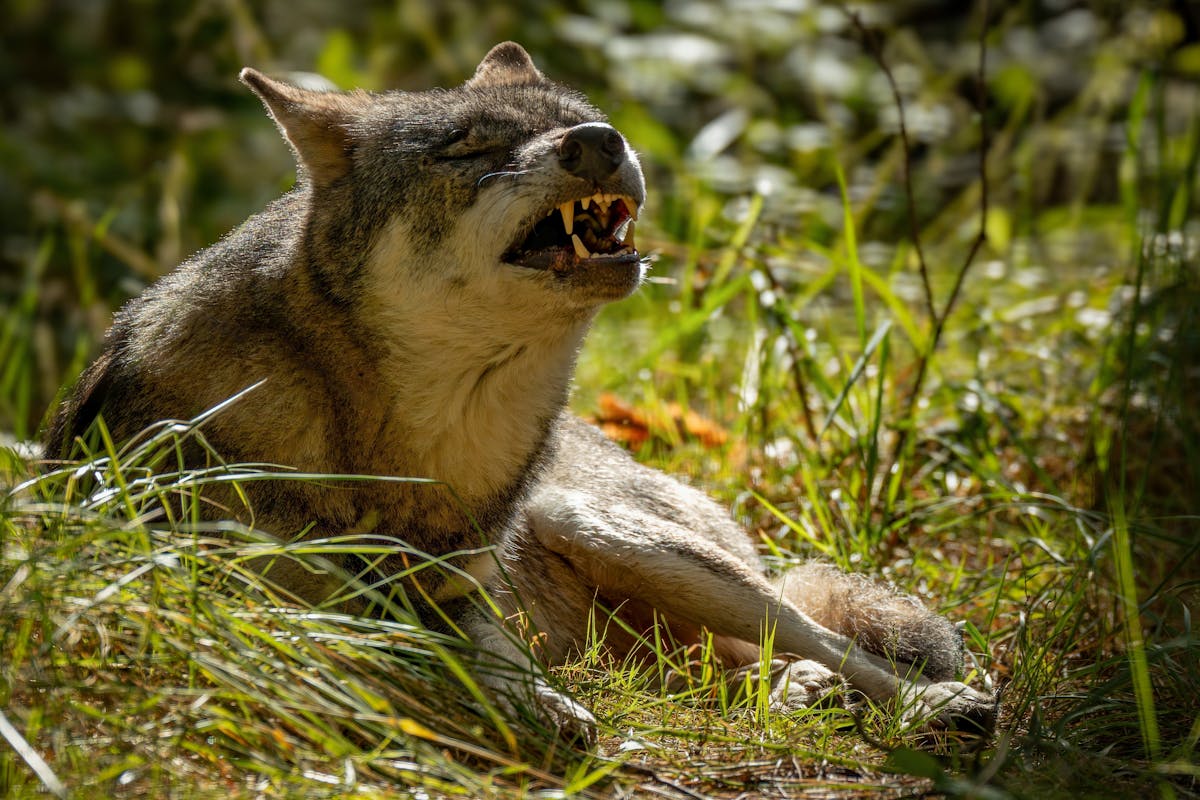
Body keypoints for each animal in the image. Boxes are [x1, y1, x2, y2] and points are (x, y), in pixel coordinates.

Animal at [45, 42, 995, 742]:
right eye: (468, 149)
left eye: (573, 122)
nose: (601, 142)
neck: (410, 447)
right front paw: (532, 703)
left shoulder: (462, 587)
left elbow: (486, 649)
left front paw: (536, 703)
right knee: (726, 666)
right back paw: (795, 690)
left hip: (608, 529)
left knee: (825, 638)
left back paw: (919, 700)